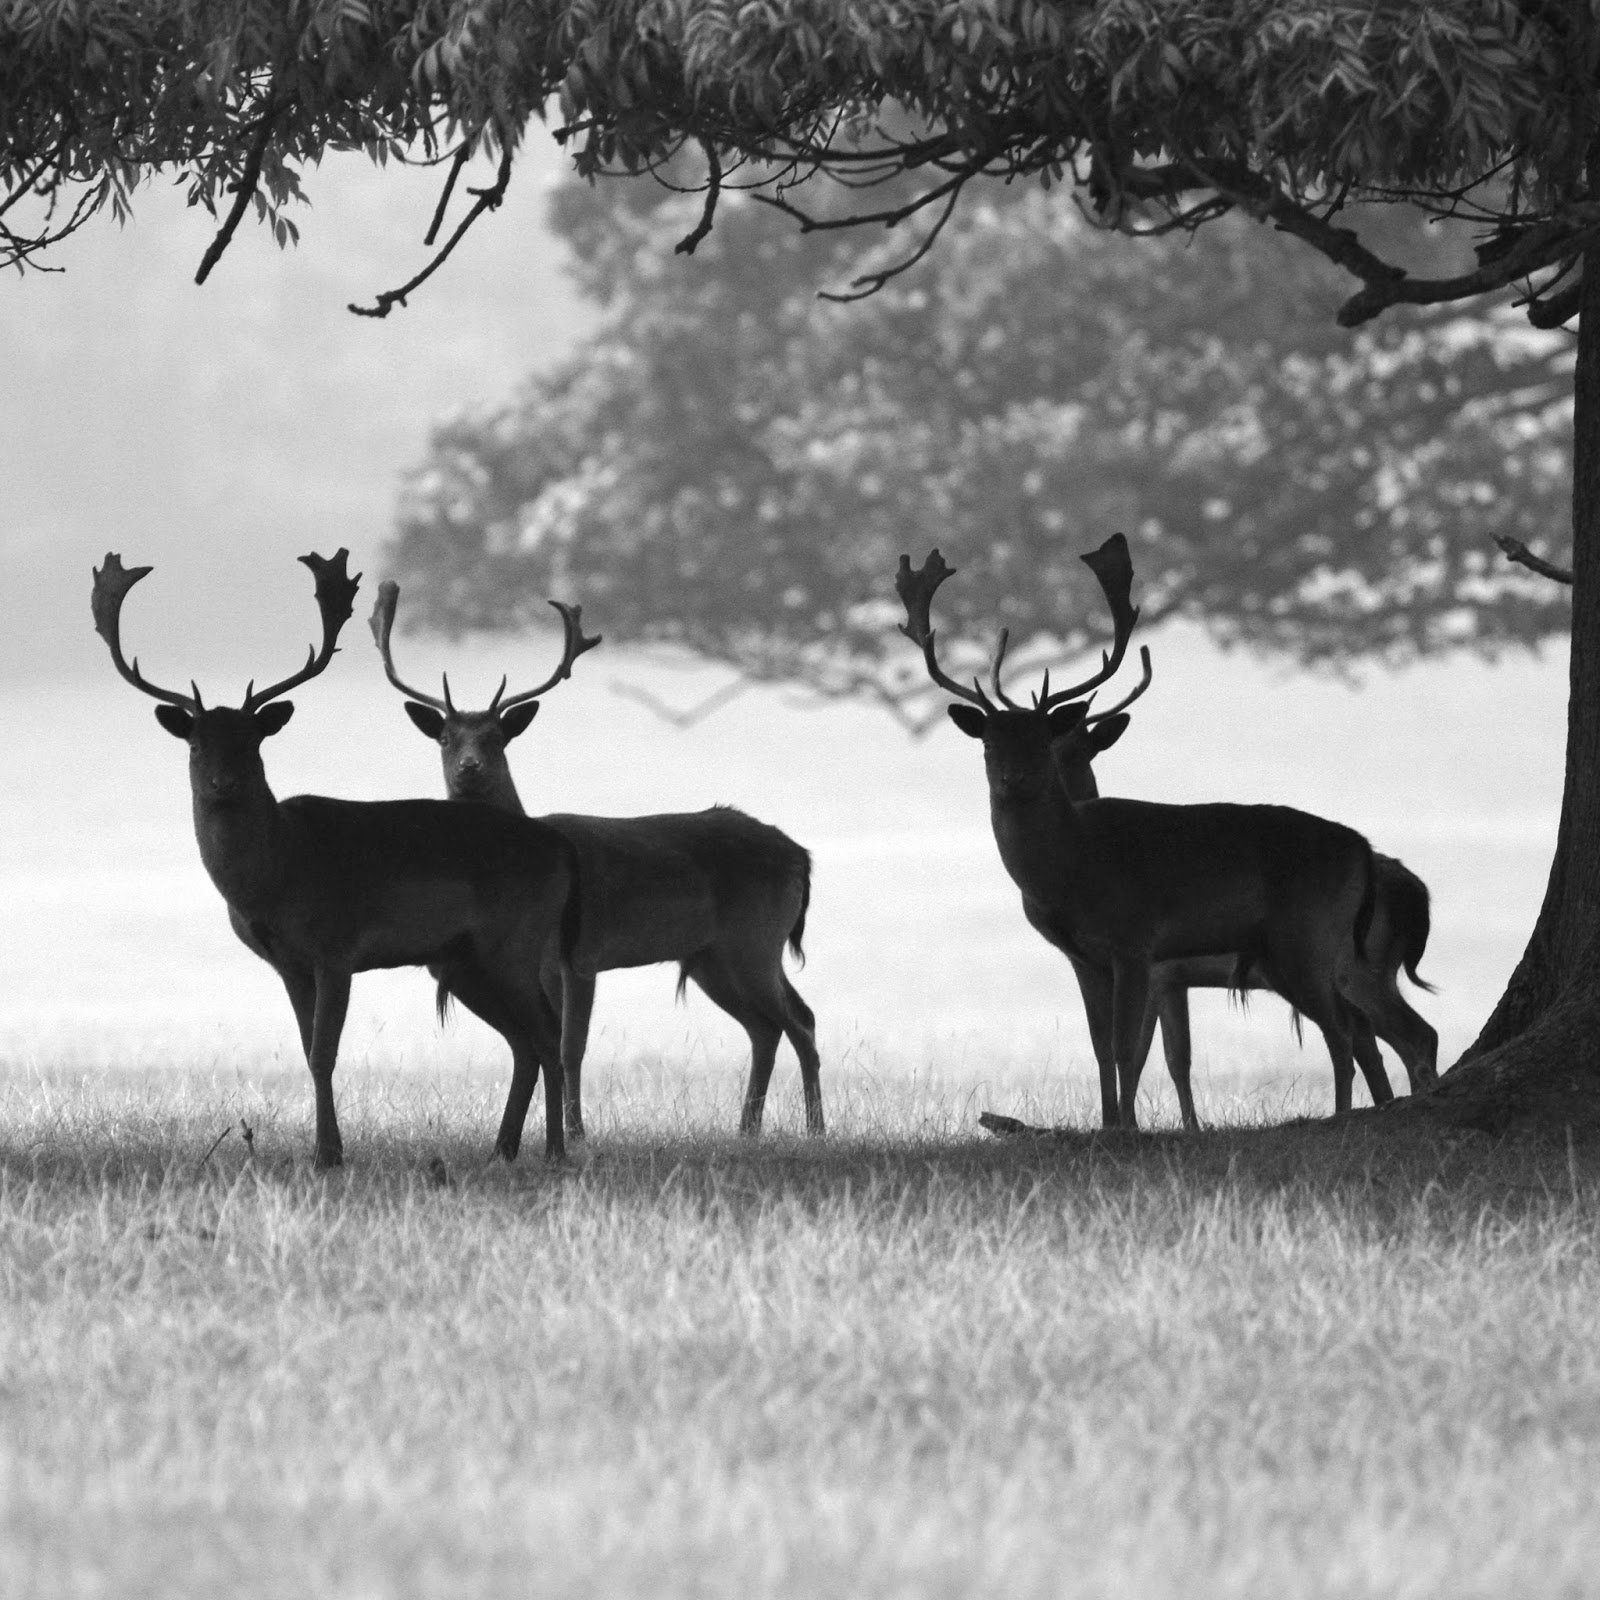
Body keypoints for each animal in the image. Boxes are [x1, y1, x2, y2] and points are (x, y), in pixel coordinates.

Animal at [91, 549, 580, 1169]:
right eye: (196, 743)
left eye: (253, 740)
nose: (224, 783)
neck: (276, 877)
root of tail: (560, 848)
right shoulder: (288, 963)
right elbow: (307, 1051)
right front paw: (328, 1149)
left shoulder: (335, 947)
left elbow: (325, 1052)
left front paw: (327, 1154)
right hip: (463, 959)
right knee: (523, 1040)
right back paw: (502, 1149)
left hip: (512, 937)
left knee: (546, 1034)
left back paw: (555, 1151)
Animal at [369, 581, 822, 1140]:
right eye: (446, 737)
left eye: (497, 737)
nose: (469, 766)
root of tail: (801, 856)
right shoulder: (544, 962)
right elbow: (552, 1041)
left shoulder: (580, 953)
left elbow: (571, 1046)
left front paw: (577, 1133)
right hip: (713, 955)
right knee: (768, 1026)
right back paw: (748, 1129)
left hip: (756, 938)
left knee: (799, 1021)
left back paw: (816, 1128)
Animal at [897, 534, 1384, 1131]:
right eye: (989, 744)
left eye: (1041, 742)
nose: (1015, 779)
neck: (1070, 873)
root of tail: (1363, 849)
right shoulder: (1084, 958)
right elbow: (1101, 1047)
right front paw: (1108, 1122)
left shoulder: (1134, 939)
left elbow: (1130, 1048)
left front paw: (1128, 1128)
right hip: (1292, 950)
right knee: (1354, 1027)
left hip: (1305, 935)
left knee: (1344, 1031)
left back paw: (1341, 1117)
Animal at [1048, 678, 1439, 1125]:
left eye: (1079, 749)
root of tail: (1416, 895)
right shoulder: (1173, 978)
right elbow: (1175, 1057)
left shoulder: (1156, 970)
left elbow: (1147, 1053)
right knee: (1384, 1037)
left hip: (1357, 967)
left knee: (1409, 1035)